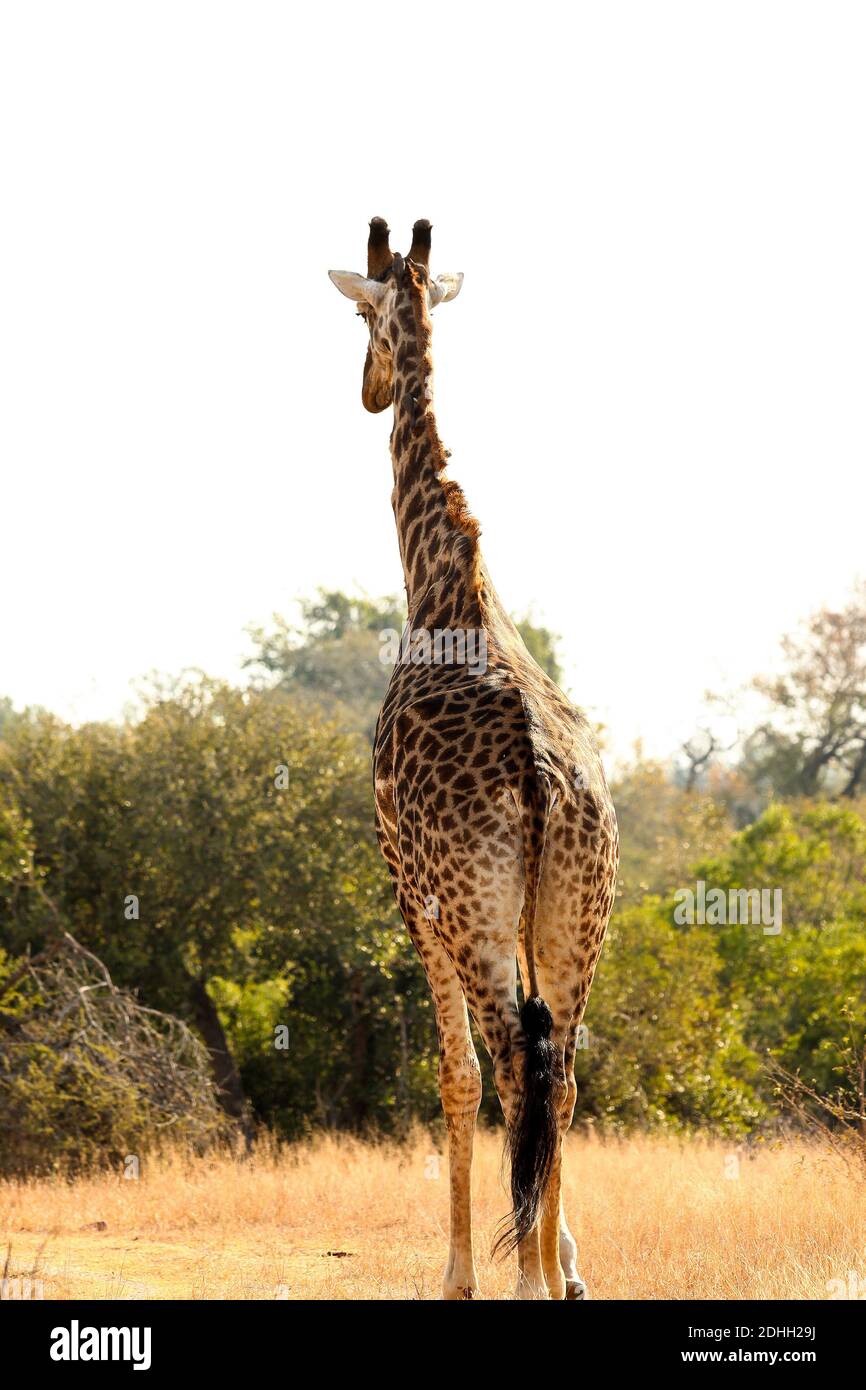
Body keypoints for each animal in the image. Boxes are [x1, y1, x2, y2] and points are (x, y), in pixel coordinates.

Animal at [329, 218, 619, 1300]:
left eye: (360, 320)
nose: (368, 390)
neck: (444, 582)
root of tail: (539, 778)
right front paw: (568, 1262)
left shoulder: (406, 889)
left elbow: (453, 1076)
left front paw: (457, 1271)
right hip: (577, 914)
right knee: (559, 1072)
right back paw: (548, 1272)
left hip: (475, 912)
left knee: (506, 1063)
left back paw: (517, 1278)